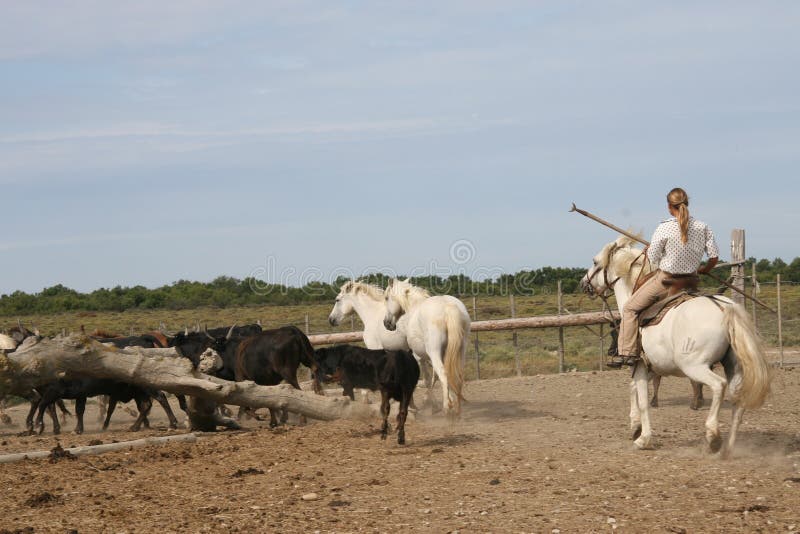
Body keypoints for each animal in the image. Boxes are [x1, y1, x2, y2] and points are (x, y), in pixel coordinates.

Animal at [382, 278, 470, 417]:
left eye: (386, 298)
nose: (386, 323)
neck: (414, 307)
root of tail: (448, 307)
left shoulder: (419, 357)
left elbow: (428, 379)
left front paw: (432, 405)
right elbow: (435, 377)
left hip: (434, 353)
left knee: (444, 374)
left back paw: (447, 409)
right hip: (460, 351)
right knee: (457, 375)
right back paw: (458, 409)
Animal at [580, 236, 771, 455]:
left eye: (595, 262)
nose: (583, 283)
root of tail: (725, 308)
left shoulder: (639, 365)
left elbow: (643, 400)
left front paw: (643, 438)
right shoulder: (652, 368)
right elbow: (633, 389)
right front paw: (635, 426)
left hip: (694, 366)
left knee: (718, 385)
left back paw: (713, 436)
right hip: (734, 366)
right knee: (737, 400)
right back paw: (728, 448)